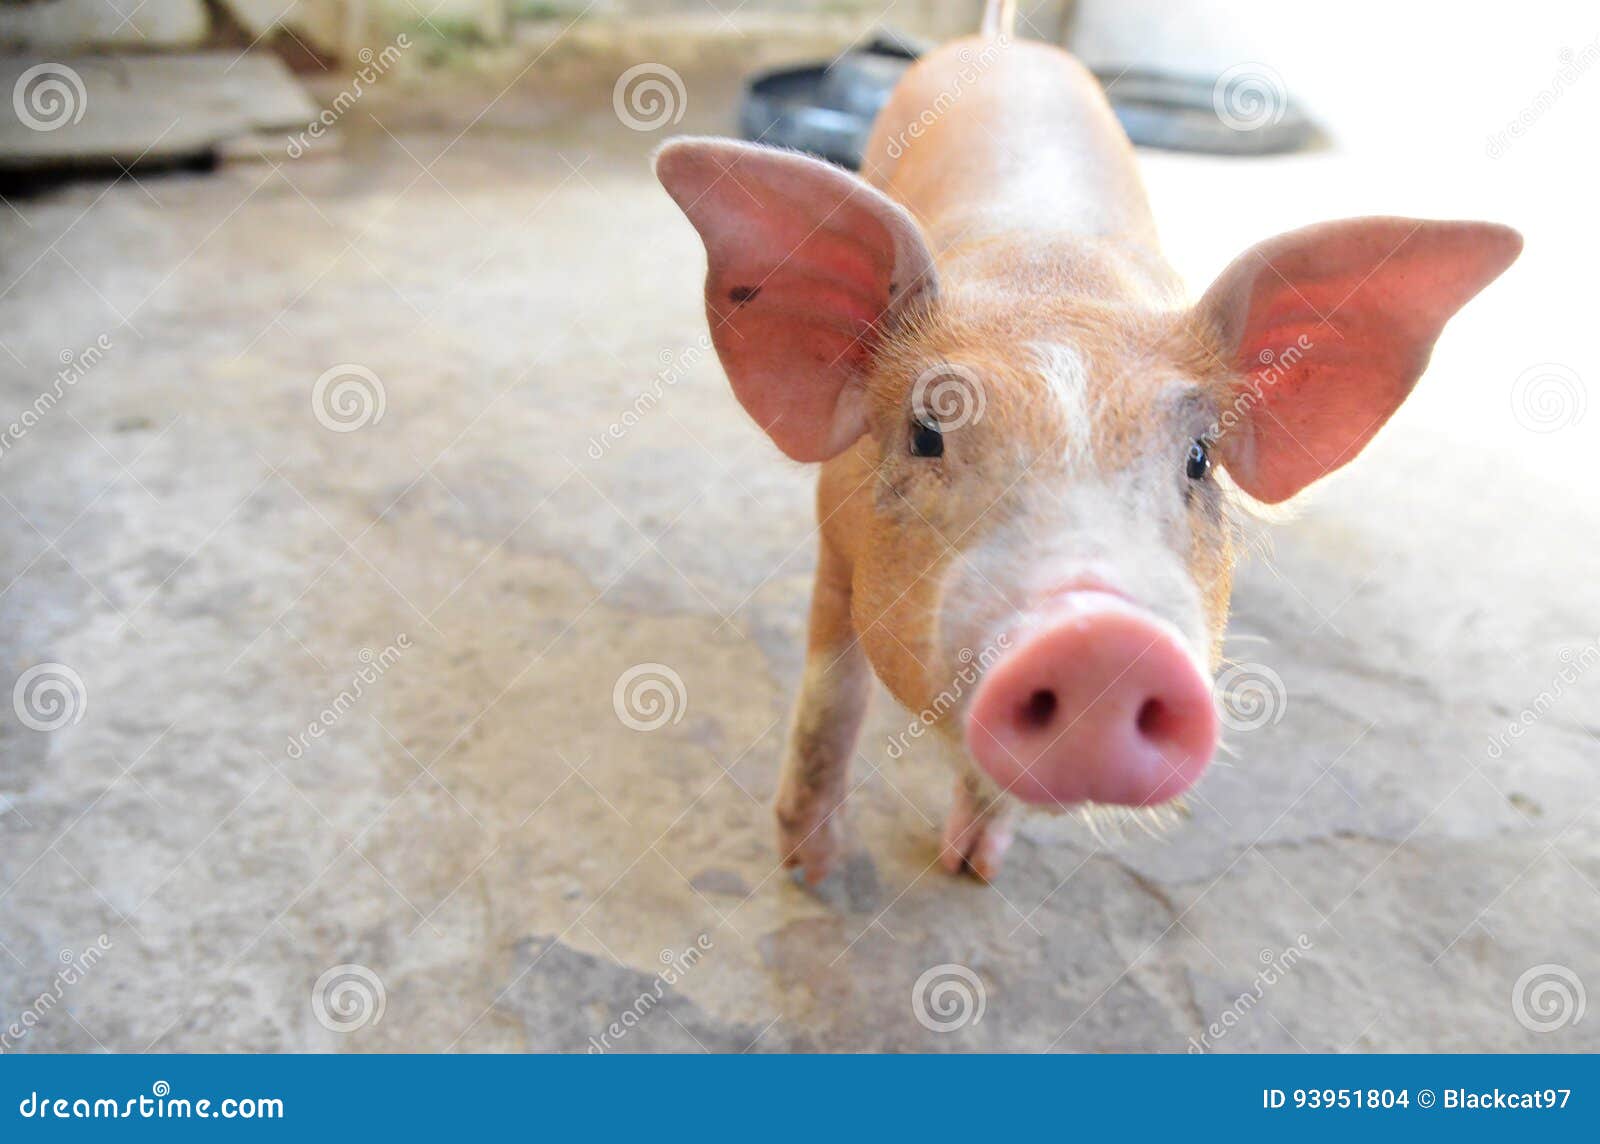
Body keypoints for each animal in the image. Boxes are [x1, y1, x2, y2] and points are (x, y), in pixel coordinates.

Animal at [654, 0, 1521, 882]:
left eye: (1200, 459)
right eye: (927, 435)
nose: (1101, 639)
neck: (1052, 272)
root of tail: (1008, 46)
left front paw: (971, 869)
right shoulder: (834, 531)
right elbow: (831, 696)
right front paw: (808, 868)